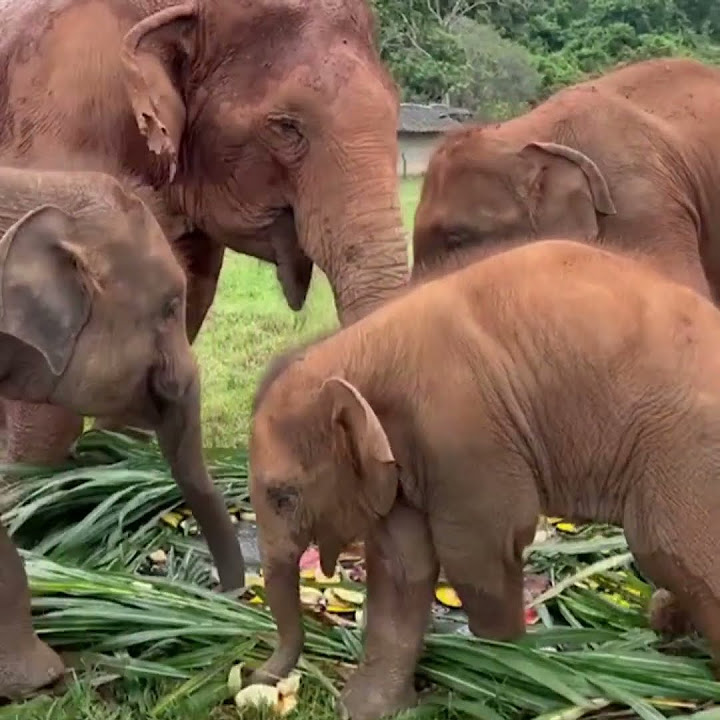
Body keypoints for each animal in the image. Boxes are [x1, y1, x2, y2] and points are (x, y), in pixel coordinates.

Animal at [249, 238, 720, 720]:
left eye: (284, 496)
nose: (256, 675)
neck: (356, 347)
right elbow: (401, 566)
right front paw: (367, 709)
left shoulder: (467, 439)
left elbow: (477, 553)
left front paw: (511, 672)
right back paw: (668, 629)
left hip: (684, 447)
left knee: (668, 550)